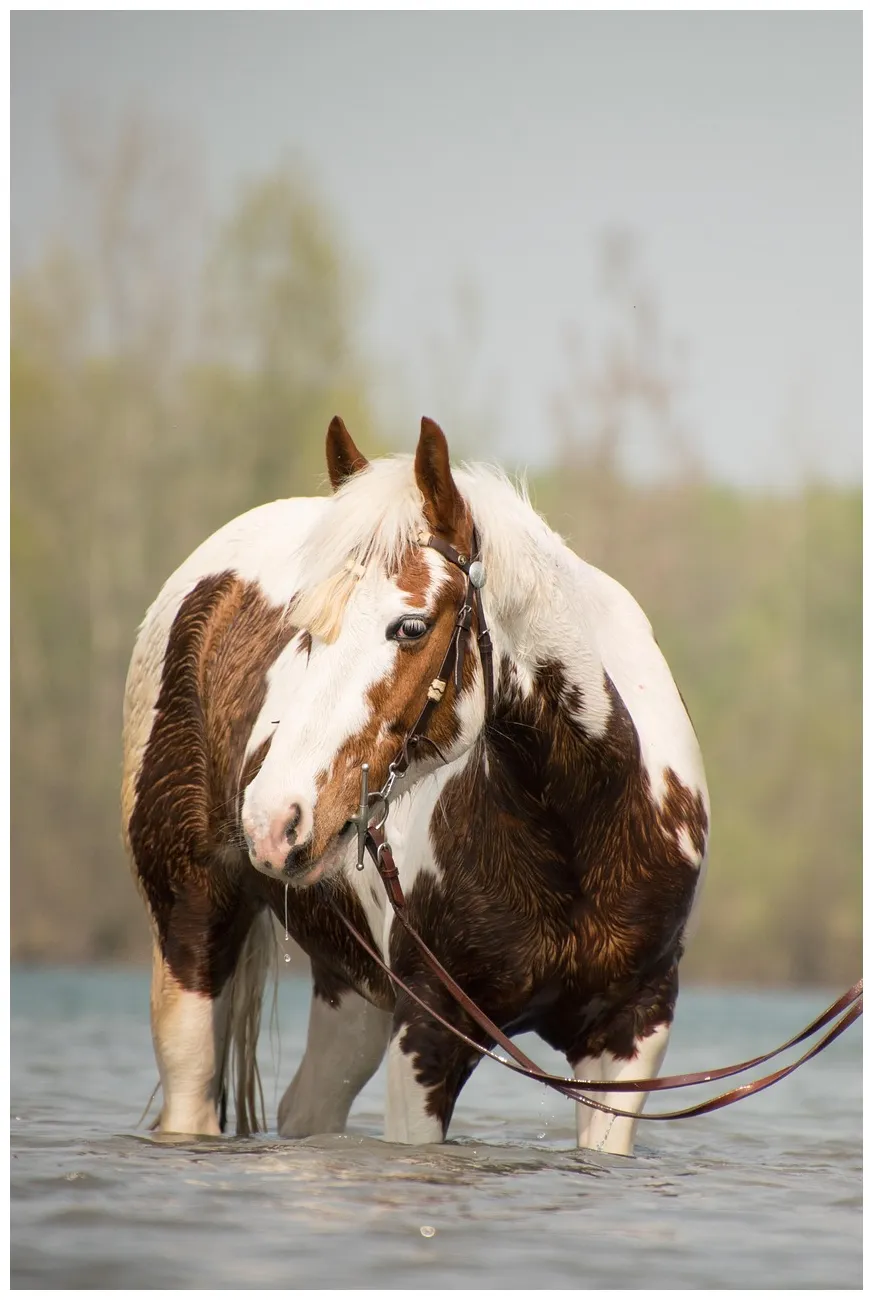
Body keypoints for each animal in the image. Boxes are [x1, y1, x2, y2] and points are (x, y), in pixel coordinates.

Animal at [121, 416, 709, 1155]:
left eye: (410, 626)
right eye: (303, 632)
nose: (271, 820)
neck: (576, 829)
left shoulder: (631, 1033)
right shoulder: (428, 1032)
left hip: (350, 989)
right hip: (191, 935)